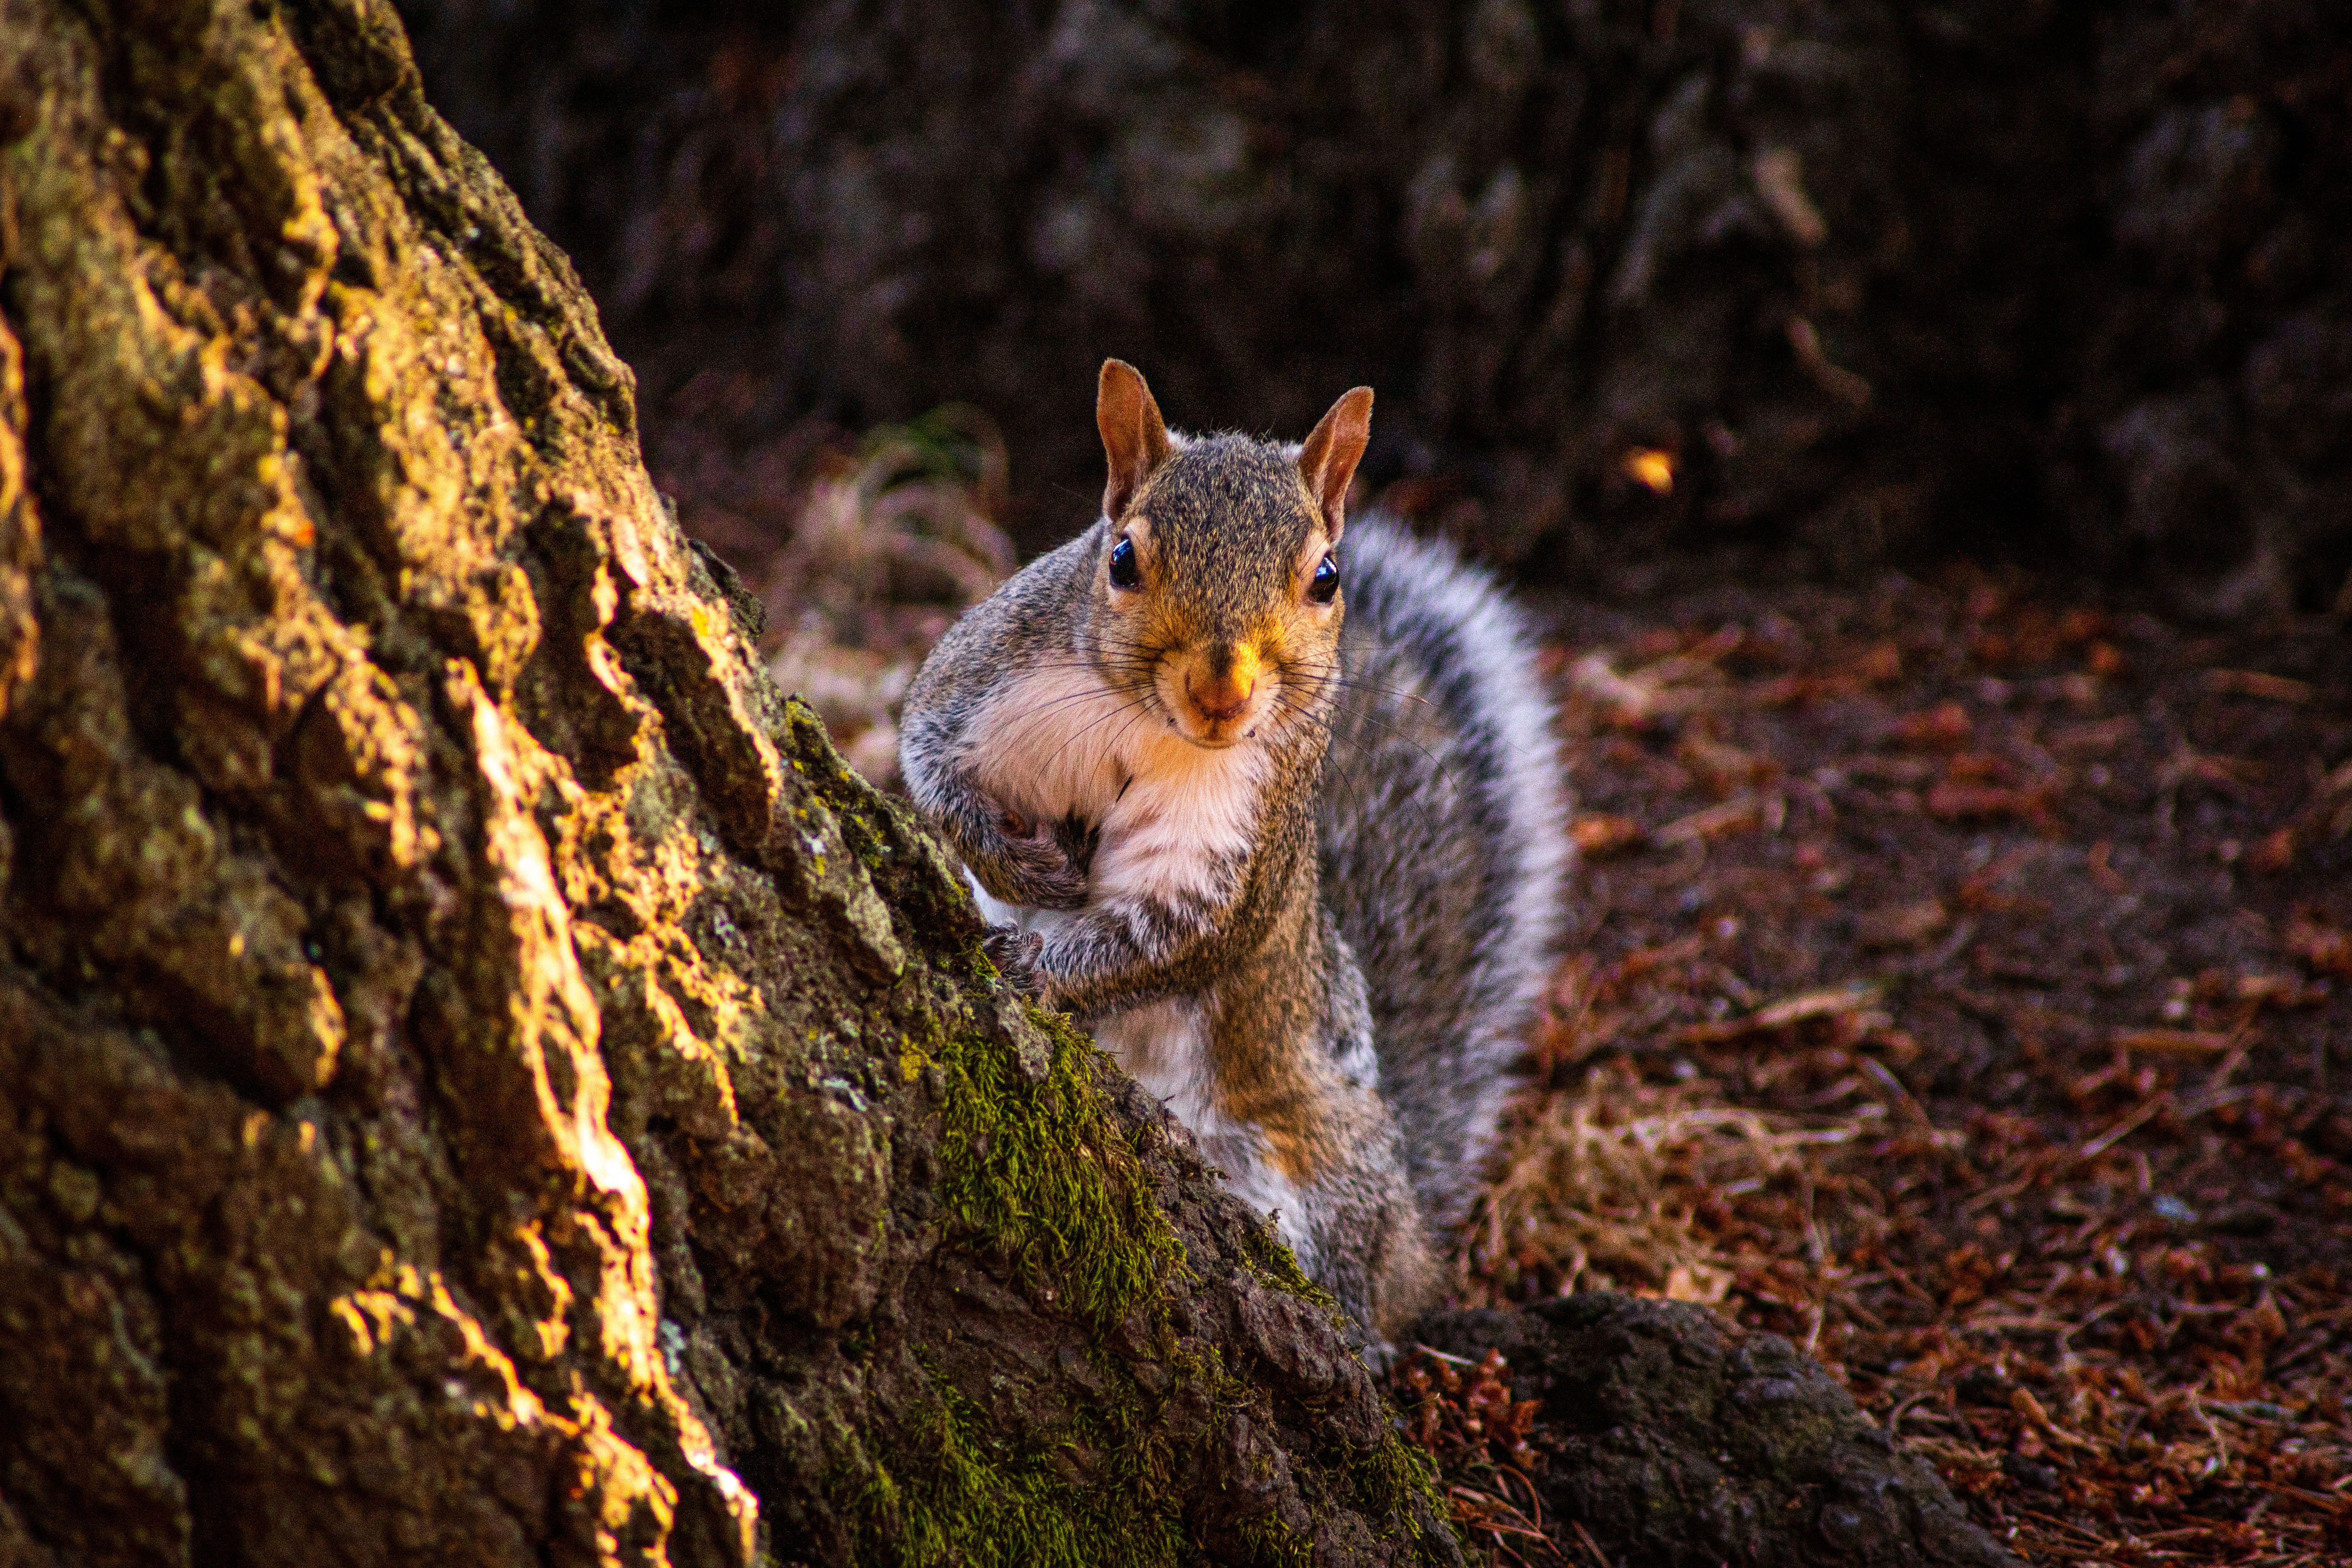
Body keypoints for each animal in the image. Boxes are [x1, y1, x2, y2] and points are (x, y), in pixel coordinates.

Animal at [899, 360, 1571, 1352]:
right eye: (1121, 559)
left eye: (1327, 577)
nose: (1223, 691)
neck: (1142, 725)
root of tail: (1412, 1235)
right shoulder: (977, 681)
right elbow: (932, 773)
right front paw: (1023, 869)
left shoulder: (1238, 849)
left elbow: (1172, 941)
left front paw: (1037, 966)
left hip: (1319, 1168)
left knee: (1352, 1283)